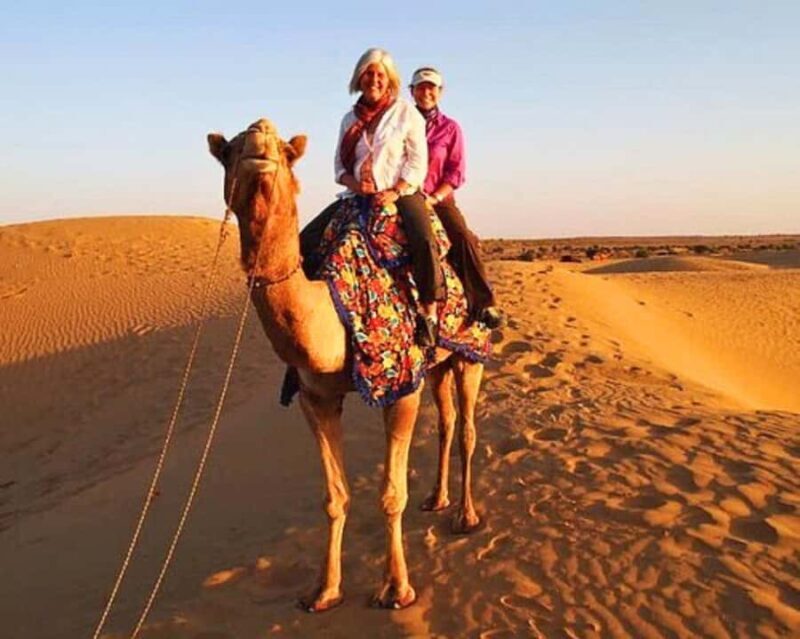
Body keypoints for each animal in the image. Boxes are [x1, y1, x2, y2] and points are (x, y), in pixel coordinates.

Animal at [207, 118, 484, 612]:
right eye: (230, 151)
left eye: (285, 150)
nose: (260, 135)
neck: (334, 315)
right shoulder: (316, 397)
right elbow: (334, 497)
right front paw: (324, 590)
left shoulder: (400, 387)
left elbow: (391, 494)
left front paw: (396, 589)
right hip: (437, 363)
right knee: (448, 421)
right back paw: (437, 498)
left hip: (472, 353)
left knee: (468, 428)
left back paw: (465, 516)